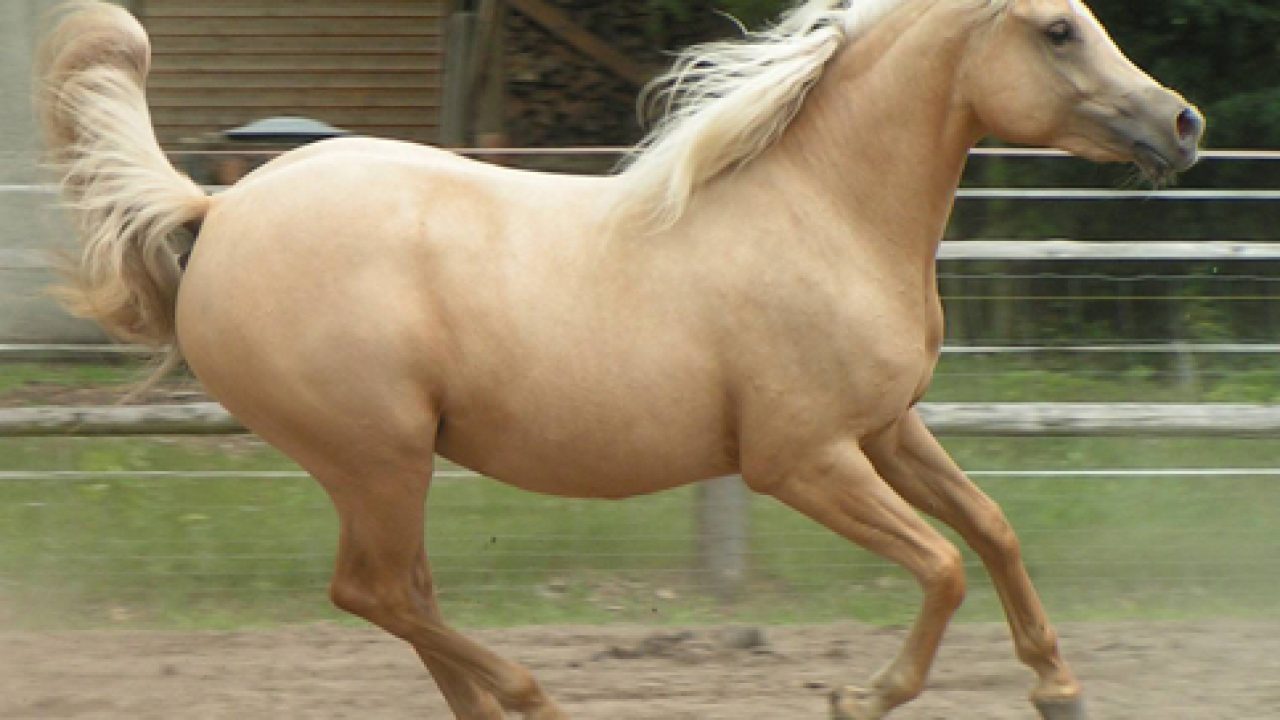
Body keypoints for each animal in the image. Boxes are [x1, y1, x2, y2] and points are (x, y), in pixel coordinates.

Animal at [35, 1, 1203, 718]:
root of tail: (217, 207)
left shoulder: (884, 427)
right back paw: (532, 697)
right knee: (375, 591)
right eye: (1058, 29)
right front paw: (861, 694)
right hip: (376, 458)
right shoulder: (801, 460)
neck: (823, 210)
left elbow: (992, 530)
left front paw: (1059, 687)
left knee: (400, 593)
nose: (1183, 123)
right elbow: (942, 565)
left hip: (382, 470)